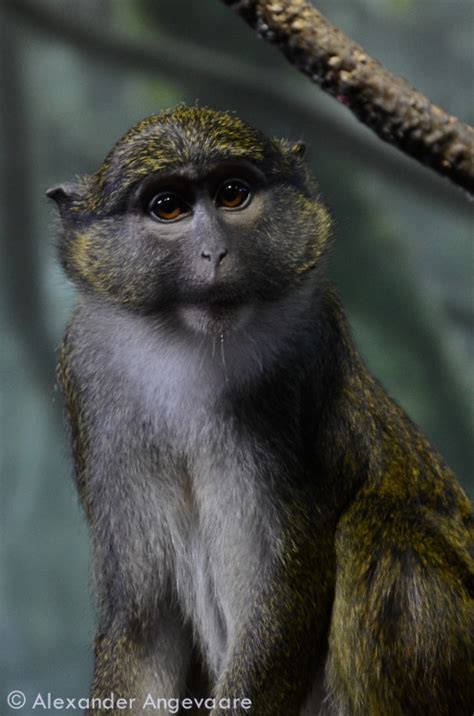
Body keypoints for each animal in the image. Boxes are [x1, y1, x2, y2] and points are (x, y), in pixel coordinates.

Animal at [47, 106, 474, 716]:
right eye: (167, 206)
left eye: (233, 193)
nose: (215, 253)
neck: (184, 352)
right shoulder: (87, 373)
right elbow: (143, 623)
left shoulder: (299, 365)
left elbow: (282, 603)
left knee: (389, 536)